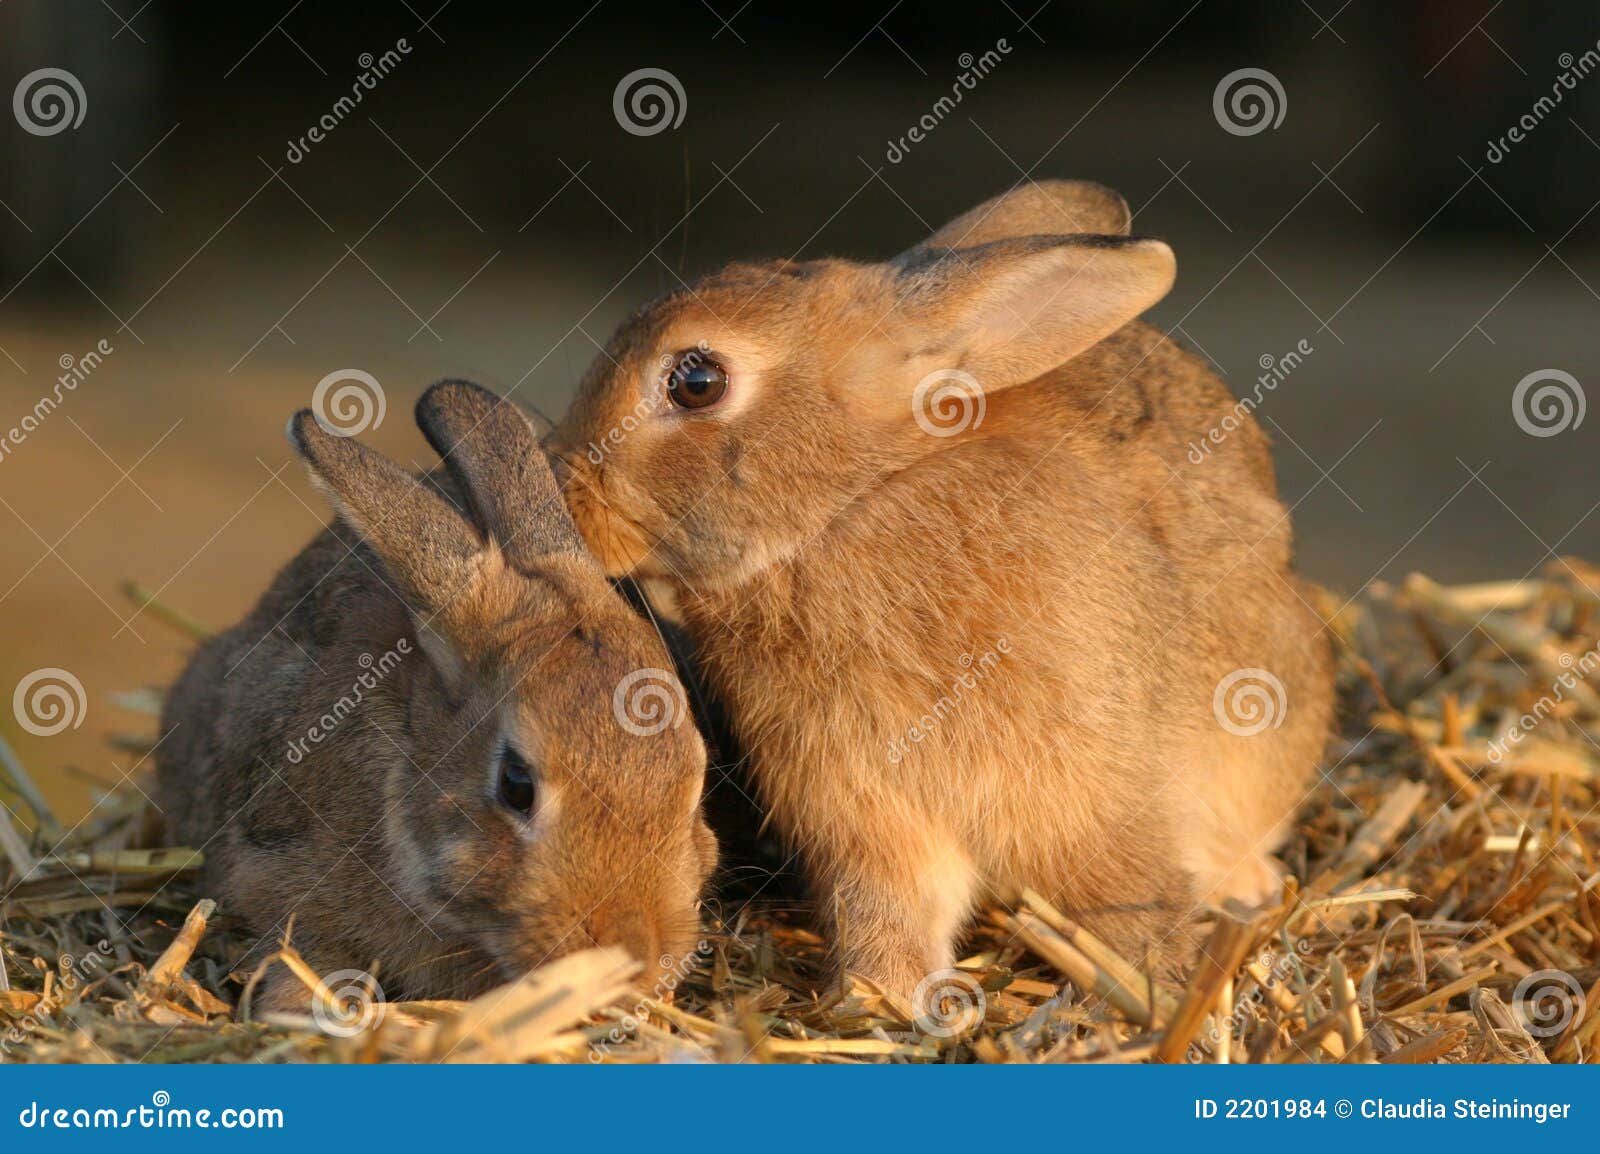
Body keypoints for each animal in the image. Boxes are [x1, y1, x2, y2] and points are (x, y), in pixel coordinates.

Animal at [545, 180, 1335, 1005]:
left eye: (695, 380)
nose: (563, 479)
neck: (853, 500)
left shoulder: (1097, 789)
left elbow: (1127, 885)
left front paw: (1160, 982)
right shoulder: (862, 811)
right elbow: (892, 902)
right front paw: (884, 992)